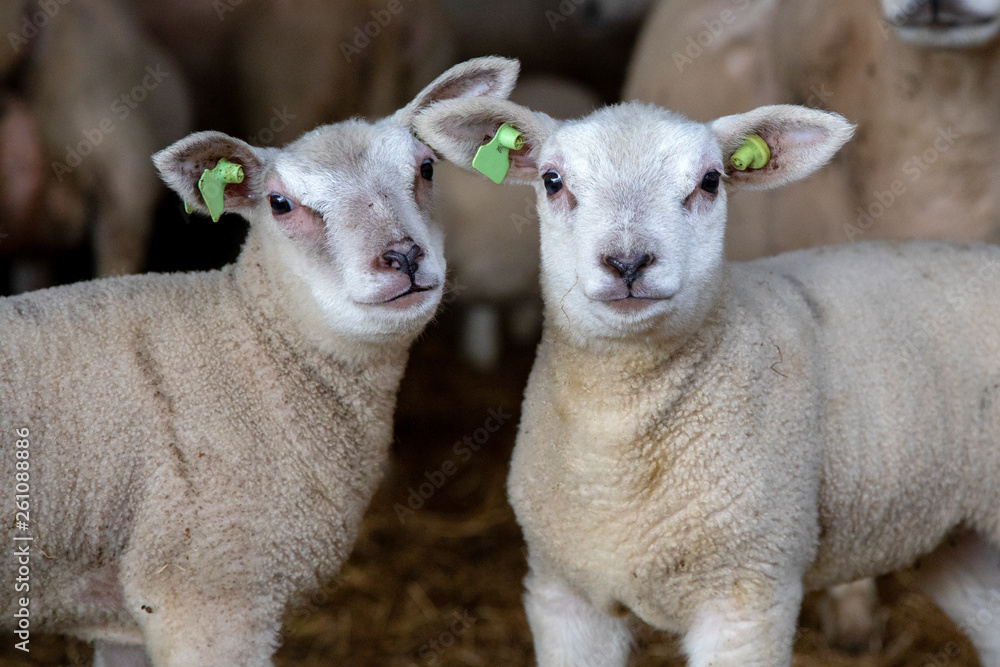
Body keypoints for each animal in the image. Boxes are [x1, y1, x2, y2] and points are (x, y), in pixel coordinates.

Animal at [0, 56, 519, 667]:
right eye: (279, 203)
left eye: (427, 167)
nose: (403, 257)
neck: (253, 349)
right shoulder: (213, 594)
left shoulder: (121, 620)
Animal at [415, 96, 1000, 666]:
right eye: (552, 180)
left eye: (711, 181)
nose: (627, 262)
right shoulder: (565, 595)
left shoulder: (748, 593)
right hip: (957, 535)